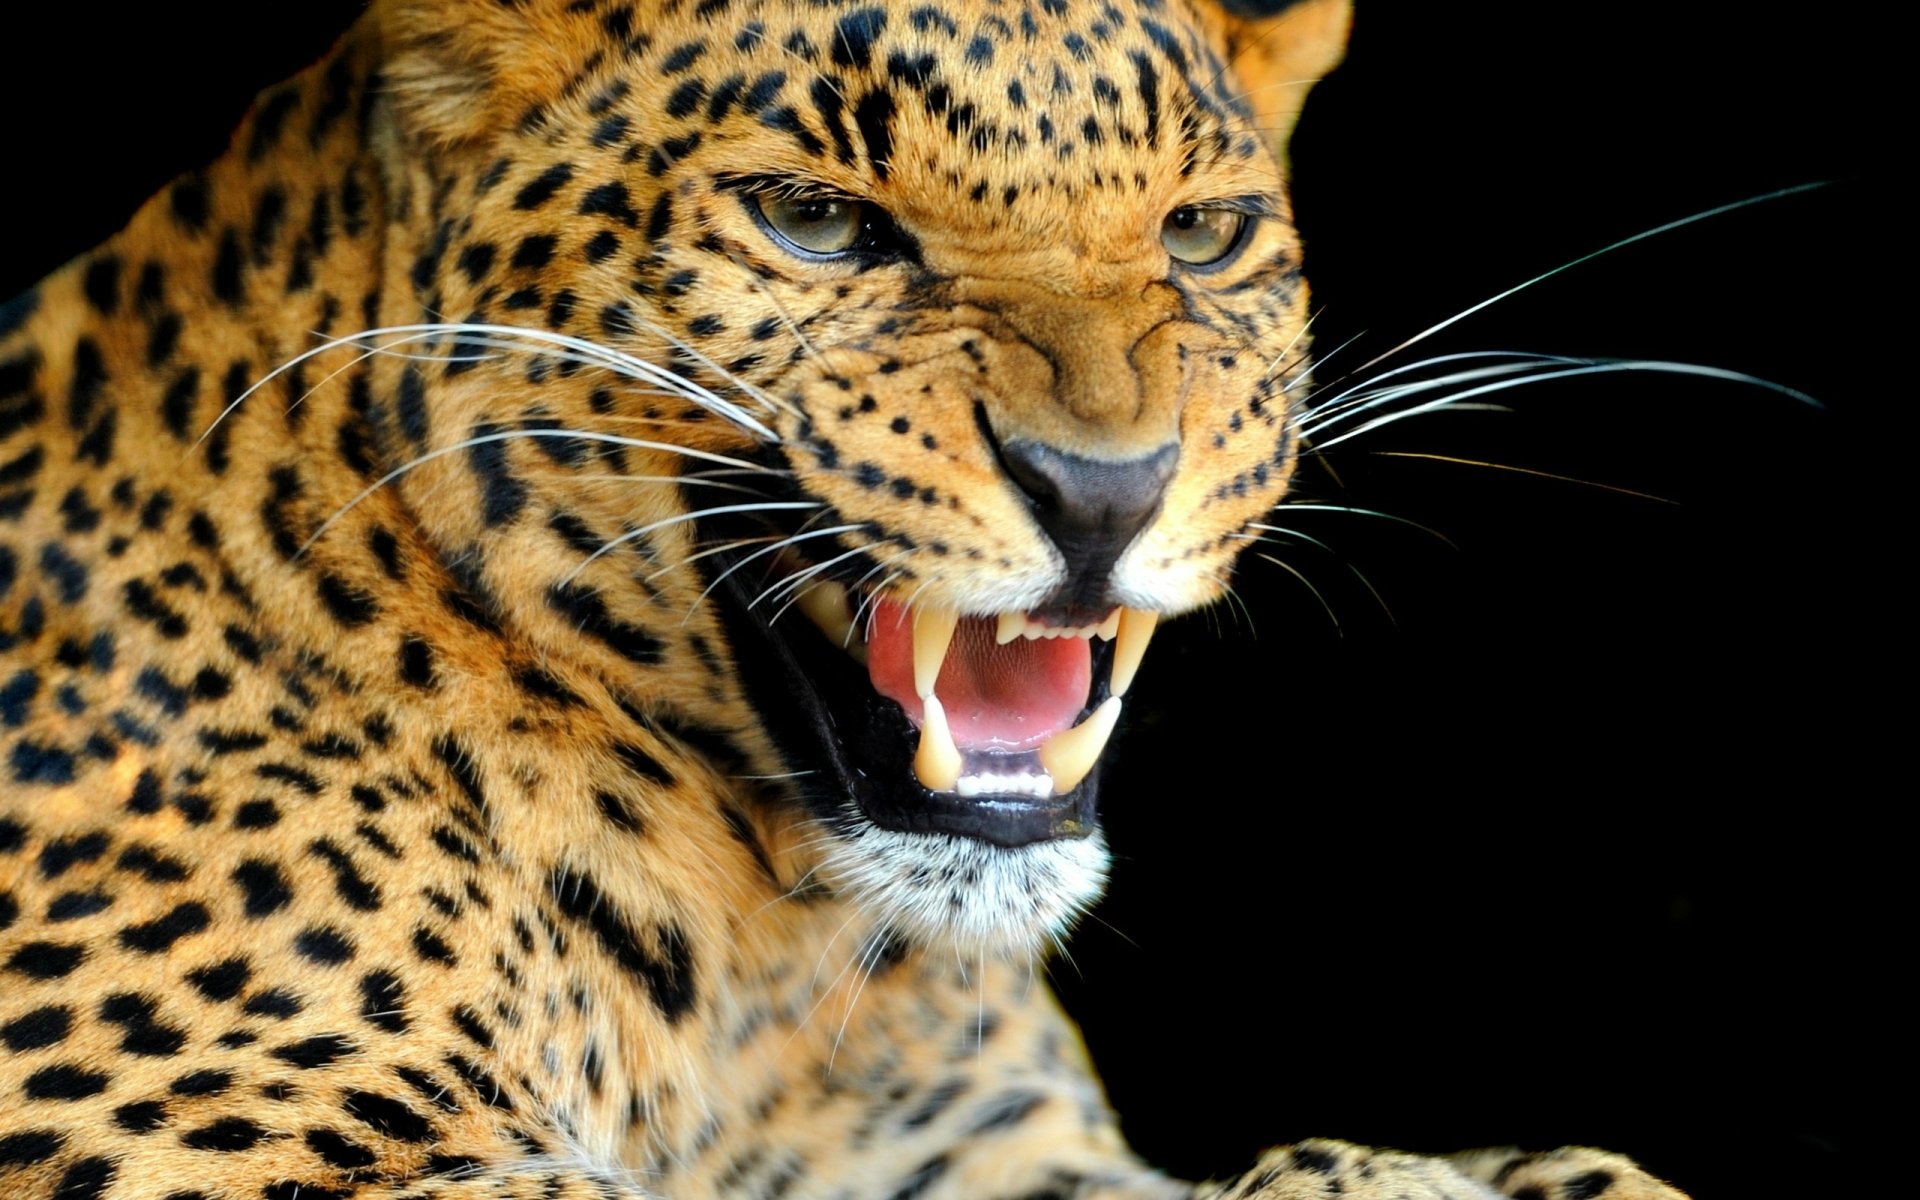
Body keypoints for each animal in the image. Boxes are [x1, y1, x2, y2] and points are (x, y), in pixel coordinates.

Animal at [0, 2, 1695, 1198]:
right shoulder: (220, 1133)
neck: (770, 969)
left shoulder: (984, 1146)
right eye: (813, 223)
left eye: (1203, 235)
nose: (1104, 490)